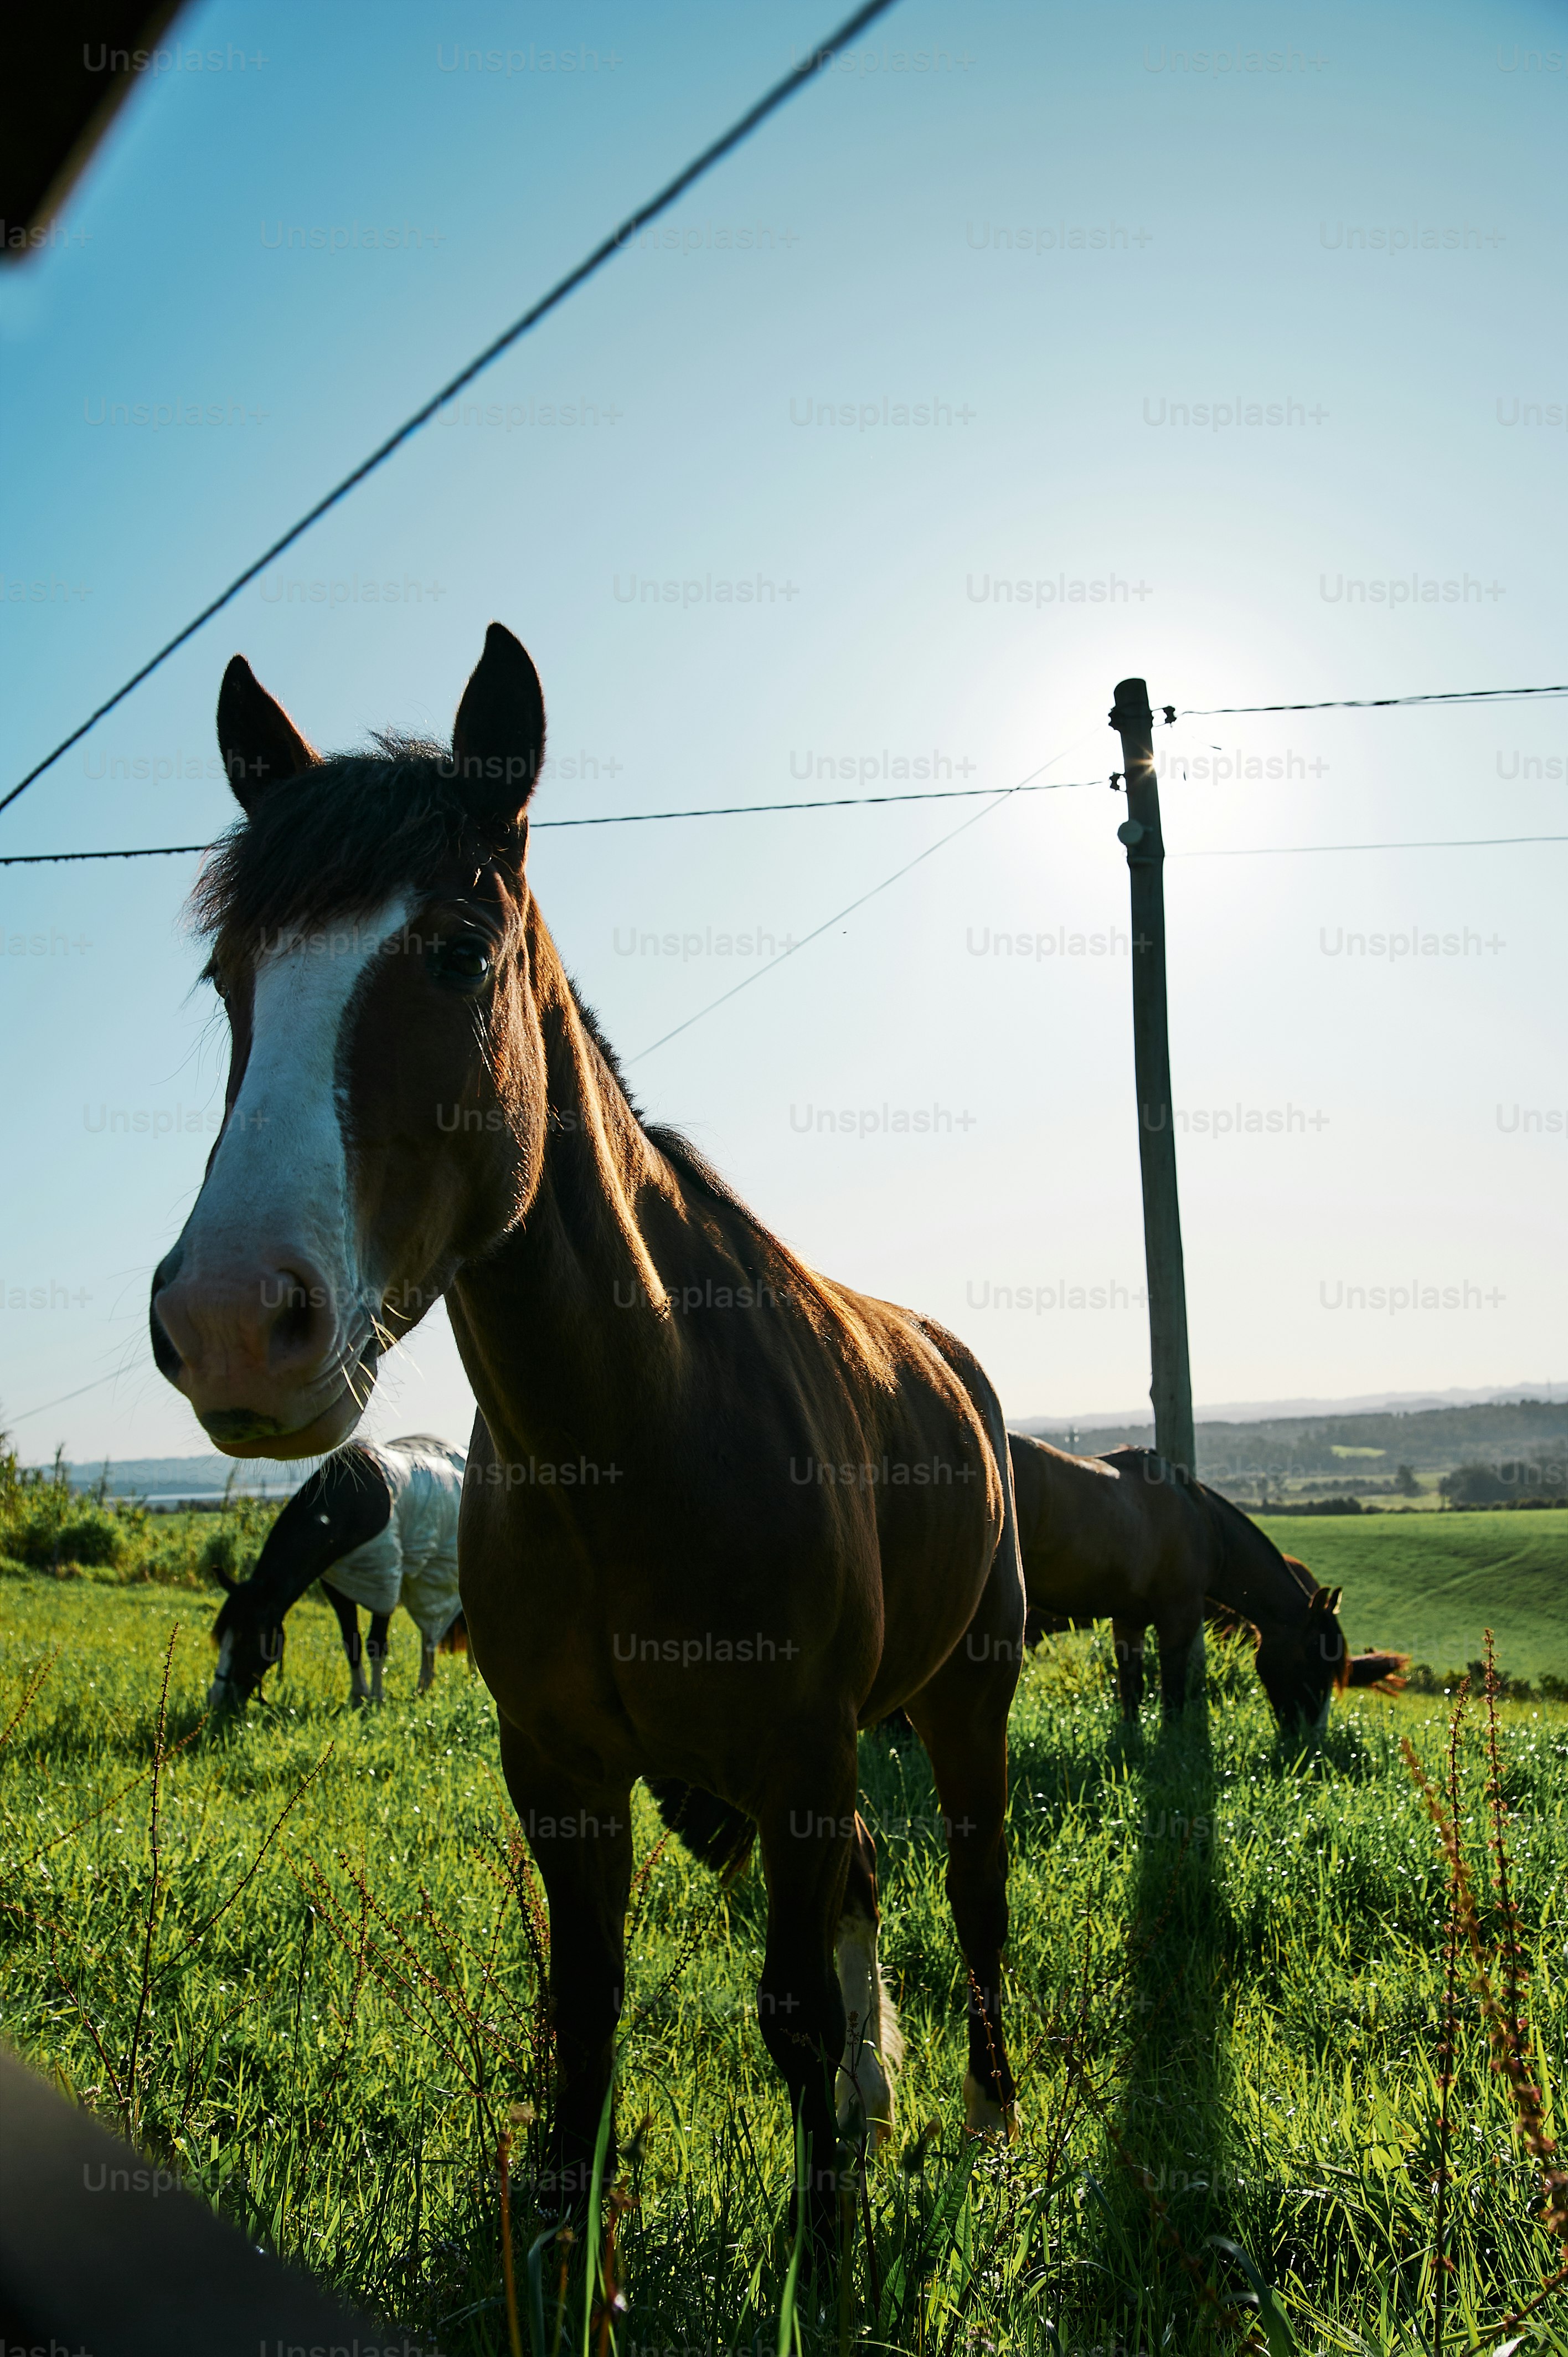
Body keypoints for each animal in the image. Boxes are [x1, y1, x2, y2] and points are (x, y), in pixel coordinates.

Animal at [208, 1434, 471, 1710]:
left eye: (248, 1637)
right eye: (223, 1635)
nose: (216, 1698)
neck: (353, 1503)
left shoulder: (386, 1579)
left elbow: (376, 1644)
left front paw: (377, 1698)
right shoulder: (338, 1587)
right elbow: (351, 1641)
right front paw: (358, 1696)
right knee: (429, 1632)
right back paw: (425, 1686)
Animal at [1008, 1432, 1408, 1733]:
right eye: (1314, 1657)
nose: (1312, 1739)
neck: (1201, 1520)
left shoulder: (1129, 1621)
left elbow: (1132, 1690)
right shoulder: (1179, 1618)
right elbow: (1172, 1690)